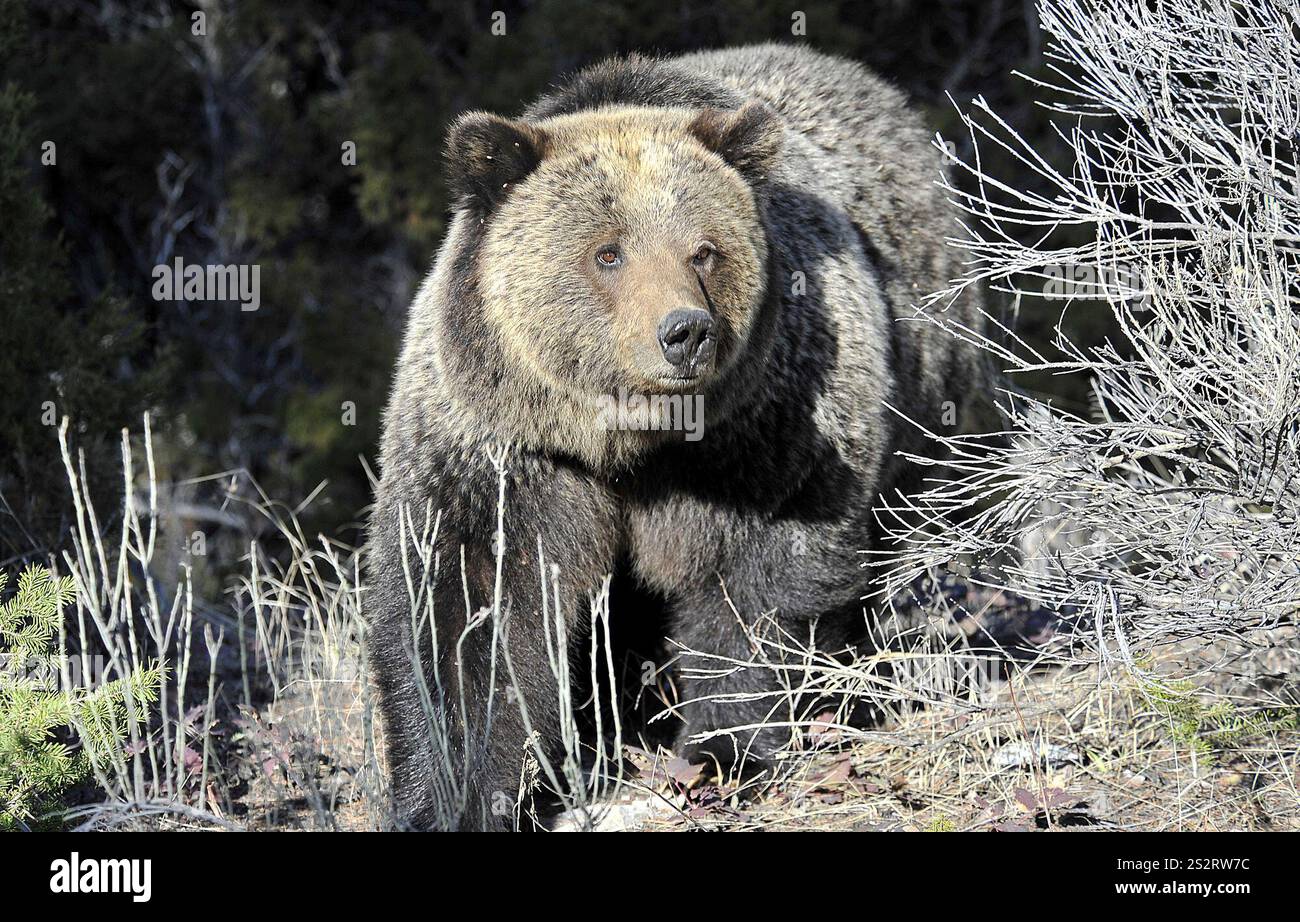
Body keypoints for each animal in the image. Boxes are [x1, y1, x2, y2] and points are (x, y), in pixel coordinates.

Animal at [365, 43, 983, 830]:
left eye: (704, 250)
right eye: (608, 252)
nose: (685, 332)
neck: (630, 442)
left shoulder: (764, 434)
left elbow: (757, 584)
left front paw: (725, 751)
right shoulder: (507, 449)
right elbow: (470, 608)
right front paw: (454, 795)